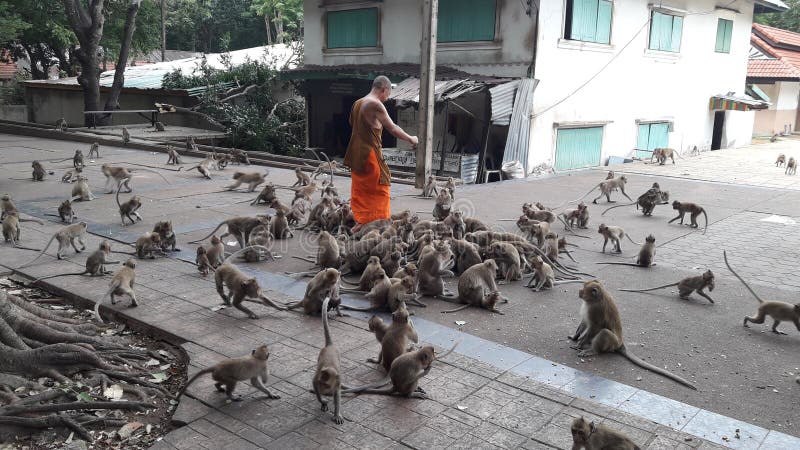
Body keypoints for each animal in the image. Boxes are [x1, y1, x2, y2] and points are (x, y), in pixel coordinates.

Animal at [568, 280, 696, 389]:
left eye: (584, 288)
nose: (579, 291)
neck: (596, 298)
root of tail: (620, 343)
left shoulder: (595, 309)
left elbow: (595, 327)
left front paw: (580, 344)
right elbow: (584, 323)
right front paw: (575, 337)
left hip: (612, 343)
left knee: (604, 332)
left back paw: (593, 350)